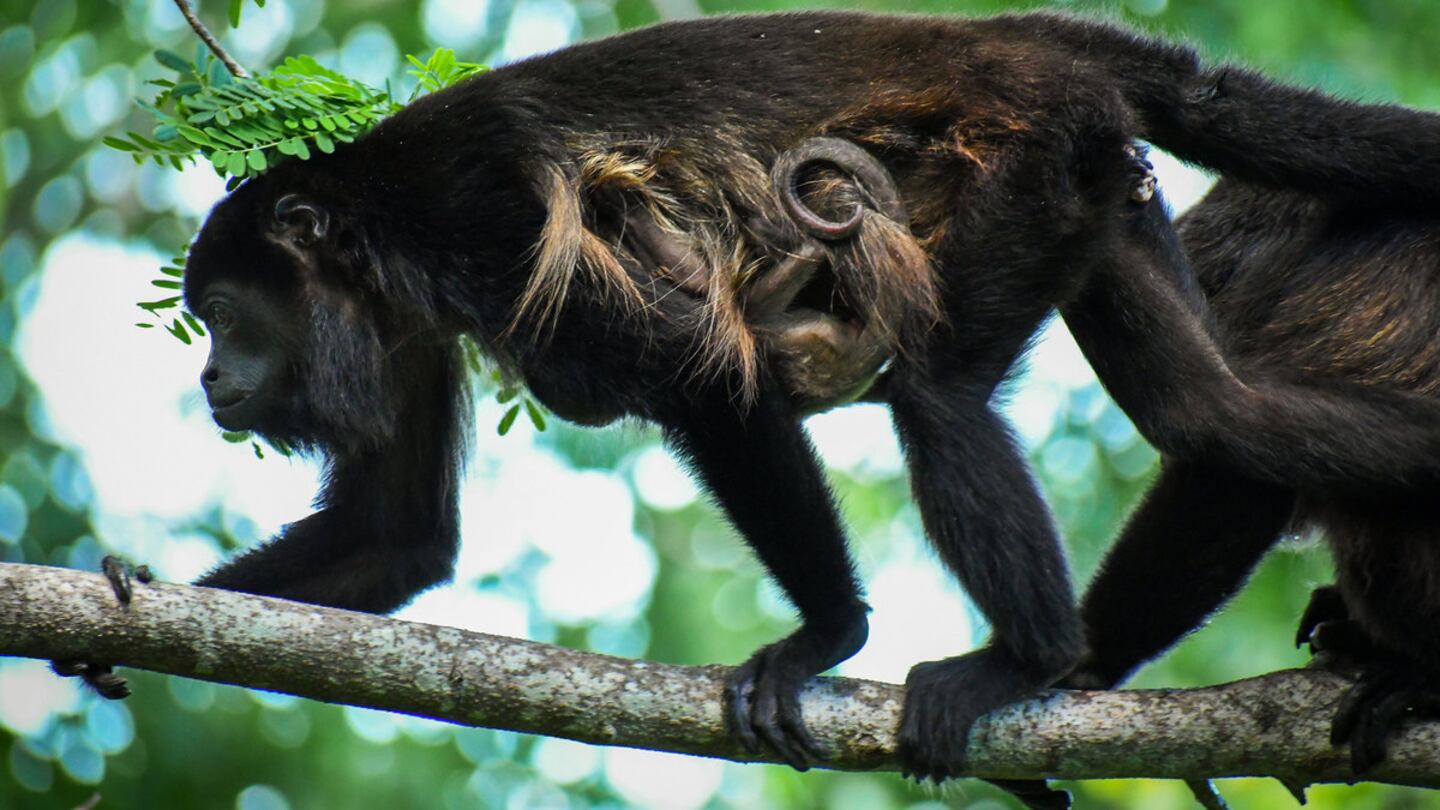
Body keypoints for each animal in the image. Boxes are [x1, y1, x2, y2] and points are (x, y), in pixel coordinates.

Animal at [58, 11, 1440, 782]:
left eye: (226, 313)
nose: (208, 375)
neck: (369, 229)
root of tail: (1011, 39)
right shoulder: (400, 319)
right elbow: (397, 536)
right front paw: (122, 608)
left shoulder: (484, 220)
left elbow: (700, 373)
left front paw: (829, 636)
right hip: (1105, 189)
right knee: (1213, 415)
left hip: (1028, 165)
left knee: (940, 398)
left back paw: (1029, 661)